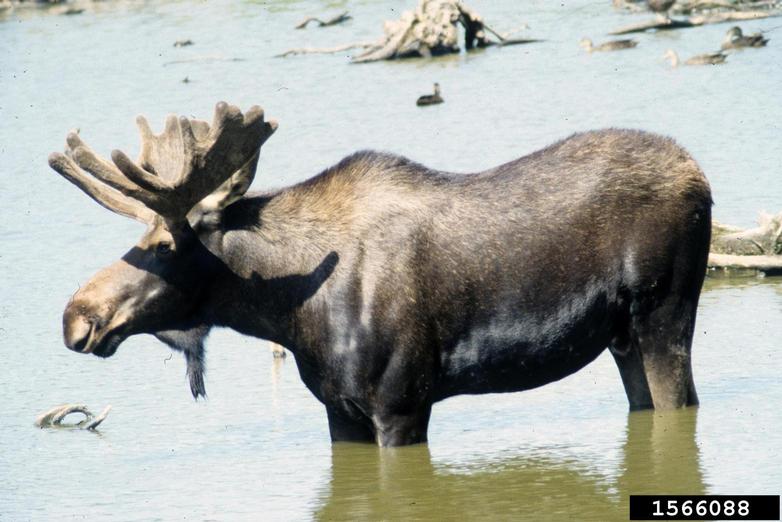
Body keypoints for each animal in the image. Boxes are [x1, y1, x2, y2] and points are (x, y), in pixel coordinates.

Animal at [49, 102, 712, 446]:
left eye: (163, 244)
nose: (76, 318)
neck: (291, 316)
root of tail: (698, 173)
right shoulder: (339, 411)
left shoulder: (402, 404)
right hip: (620, 337)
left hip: (665, 315)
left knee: (681, 402)